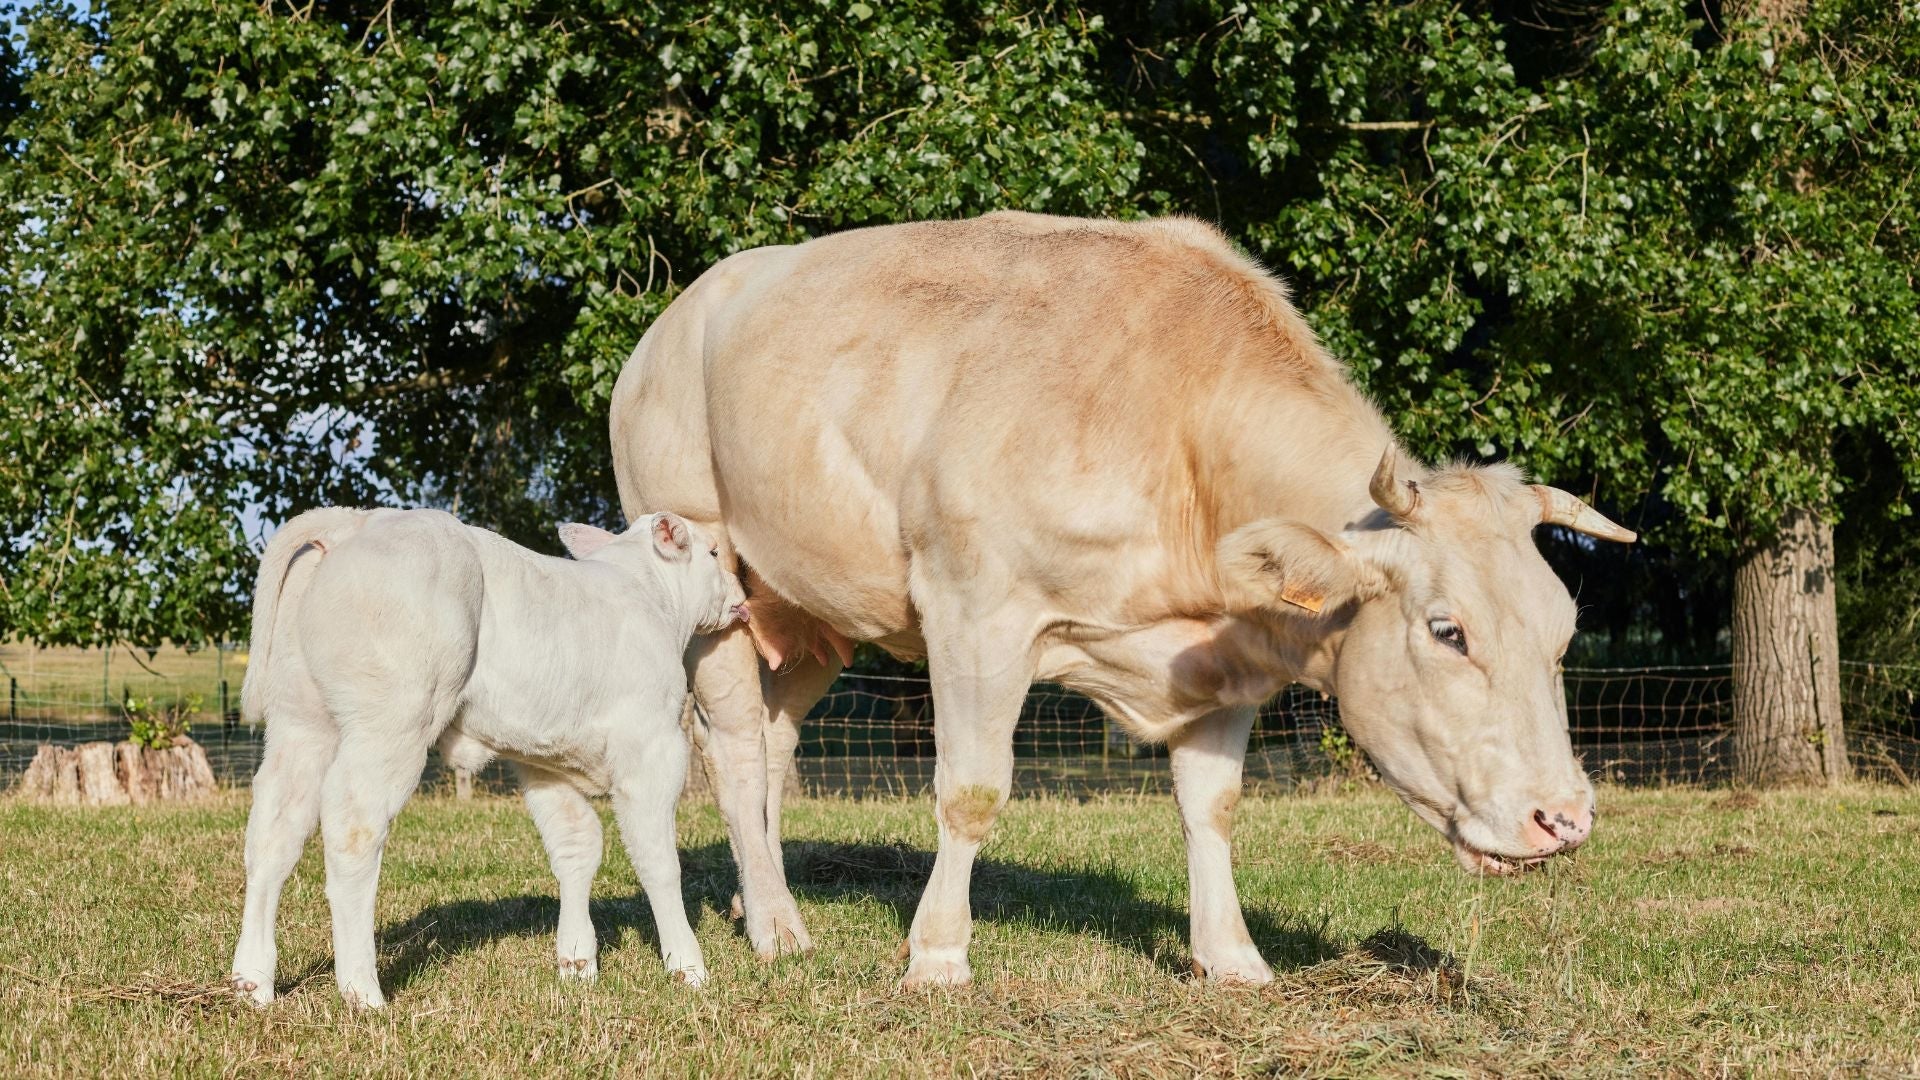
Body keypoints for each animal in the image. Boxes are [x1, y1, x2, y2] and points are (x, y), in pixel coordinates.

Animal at [228, 507, 744, 1007]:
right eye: (714, 551)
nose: (740, 598)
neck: (651, 597)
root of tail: (354, 521)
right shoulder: (652, 746)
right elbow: (658, 860)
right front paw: (687, 967)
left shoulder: (543, 762)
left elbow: (577, 845)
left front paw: (577, 962)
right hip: (392, 721)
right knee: (353, 825)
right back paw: (362, 990)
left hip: (301, 722)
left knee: (275, 829)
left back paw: (253, 982)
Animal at [609, 212, 1635, 987]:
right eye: (1448, 630)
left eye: (1563, 634)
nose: (1566, 819)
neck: (1180, 435)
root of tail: (674, 320)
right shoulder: (975, 610)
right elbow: (971, 792)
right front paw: (937, 956)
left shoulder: (1224, 652)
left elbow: (1212, 803)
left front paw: (1231, 957)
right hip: (709, 564)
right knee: (738, 750)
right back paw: (776, 925)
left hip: (811, 610)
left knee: (776, 742)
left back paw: (759, 897)